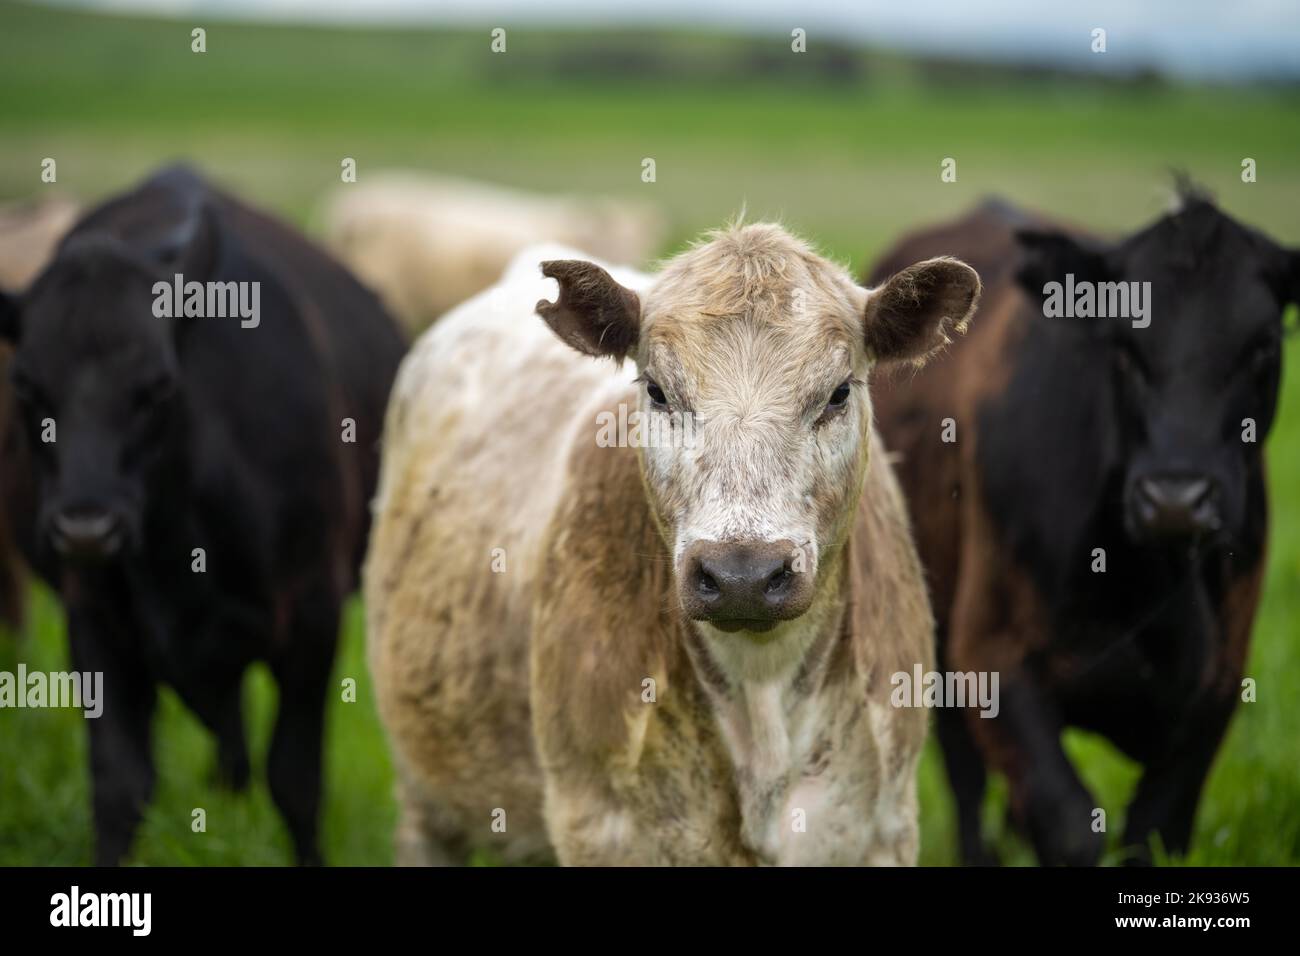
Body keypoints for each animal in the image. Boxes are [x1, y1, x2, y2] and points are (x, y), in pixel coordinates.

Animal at [0, 166, 407, 865]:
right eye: (25, 386)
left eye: (159, 386)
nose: (86, 527)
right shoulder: (95, 621)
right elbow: (120, 784)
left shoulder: (314, 618)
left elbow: (296, 779)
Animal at [365, 222, 981, 865]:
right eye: (659, 391)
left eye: (838, 393)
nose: (743, 576)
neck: (761, 699)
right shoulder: (601, 828)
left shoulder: (883, 827)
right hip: (424, 792)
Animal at [867, 189, 1299, 866]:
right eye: (1122, 345)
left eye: (1262, 346)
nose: (1175, 501)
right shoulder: (993, 658)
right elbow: (1068, 824)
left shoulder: (1218, 687)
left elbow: (1153, 831)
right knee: (966, 778)